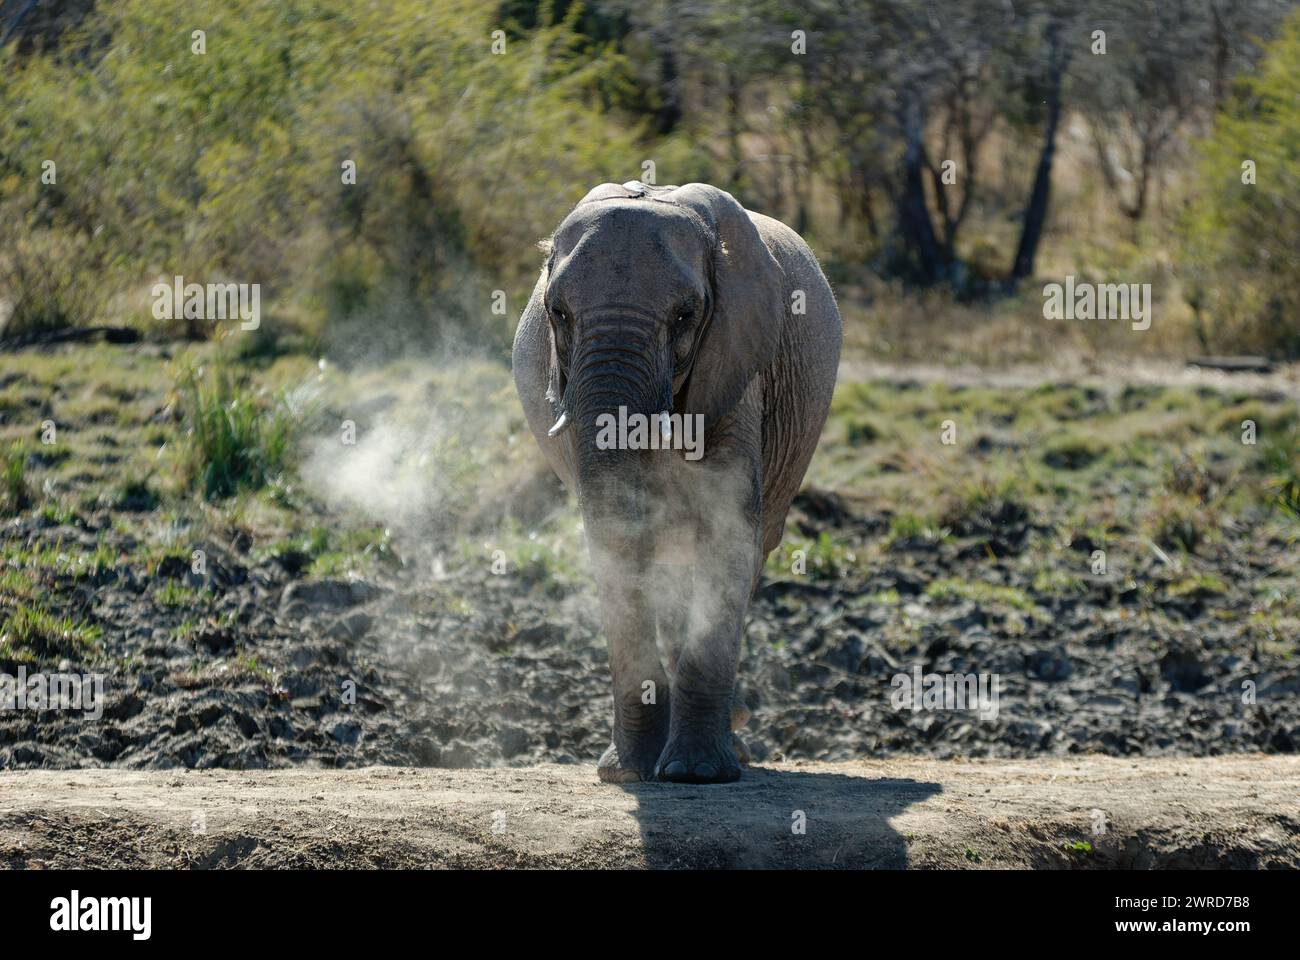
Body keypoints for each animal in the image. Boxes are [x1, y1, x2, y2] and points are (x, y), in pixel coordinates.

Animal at [512, 181, 841, 784]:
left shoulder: (736, 367)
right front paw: (628, 774)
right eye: (558, 313)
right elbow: (621, 539)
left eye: (686, 315)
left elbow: (729, 532)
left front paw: (695, 773)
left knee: (750, 552)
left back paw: (731, 749)